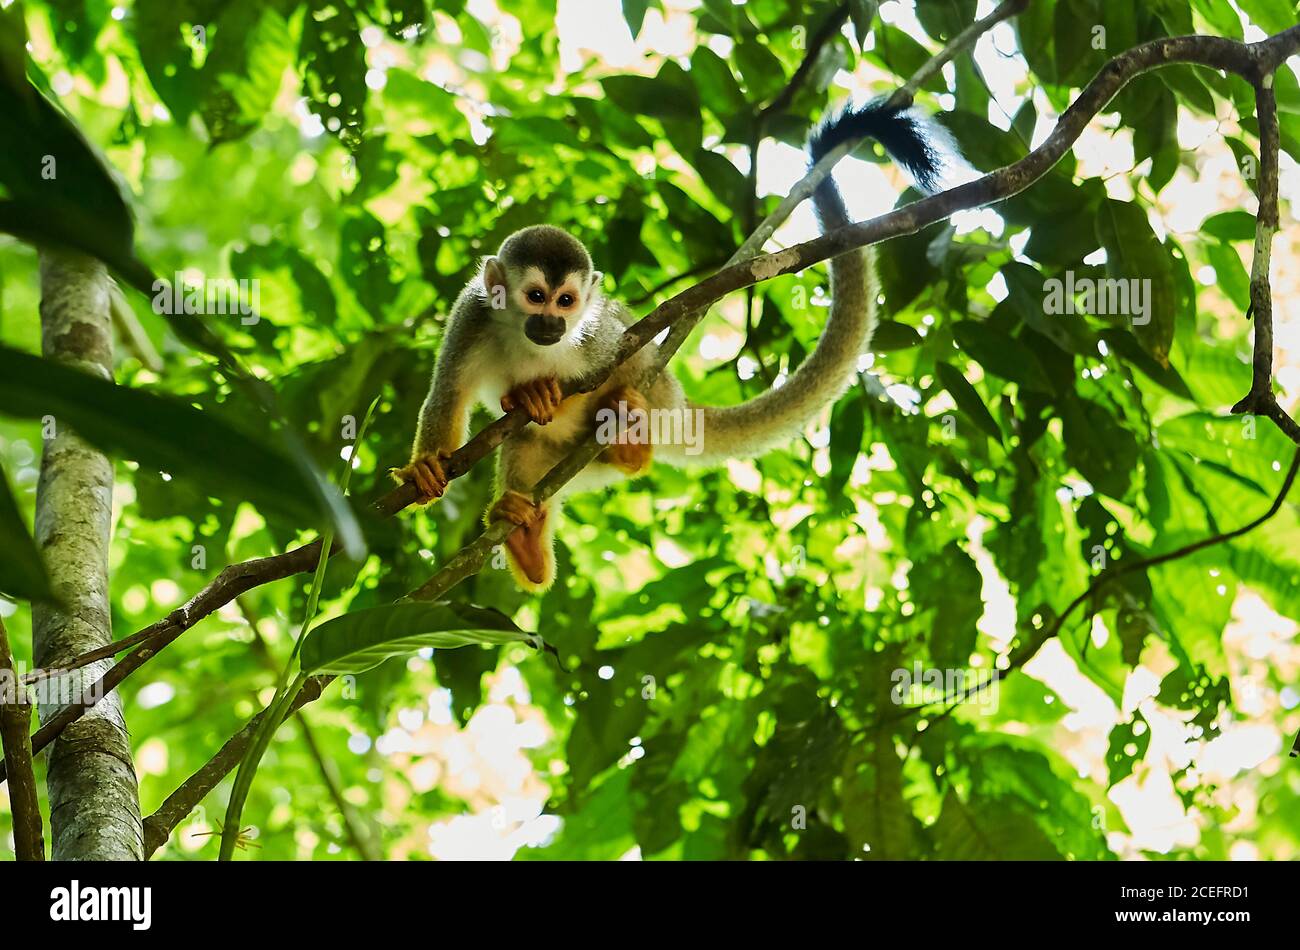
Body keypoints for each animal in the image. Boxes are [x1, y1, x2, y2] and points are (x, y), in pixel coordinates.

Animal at [394, 101, 953, 593]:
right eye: (535, 296)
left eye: (566, 301)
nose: (552, 323)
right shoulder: (473, 316)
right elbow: (448, 394)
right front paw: (428, 466)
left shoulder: (595, 334)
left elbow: (637, 359)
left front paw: (563, 397)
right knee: (524, 449)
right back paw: (528, 537)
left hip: (640, 419)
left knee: (642, 395)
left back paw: (630, 443)